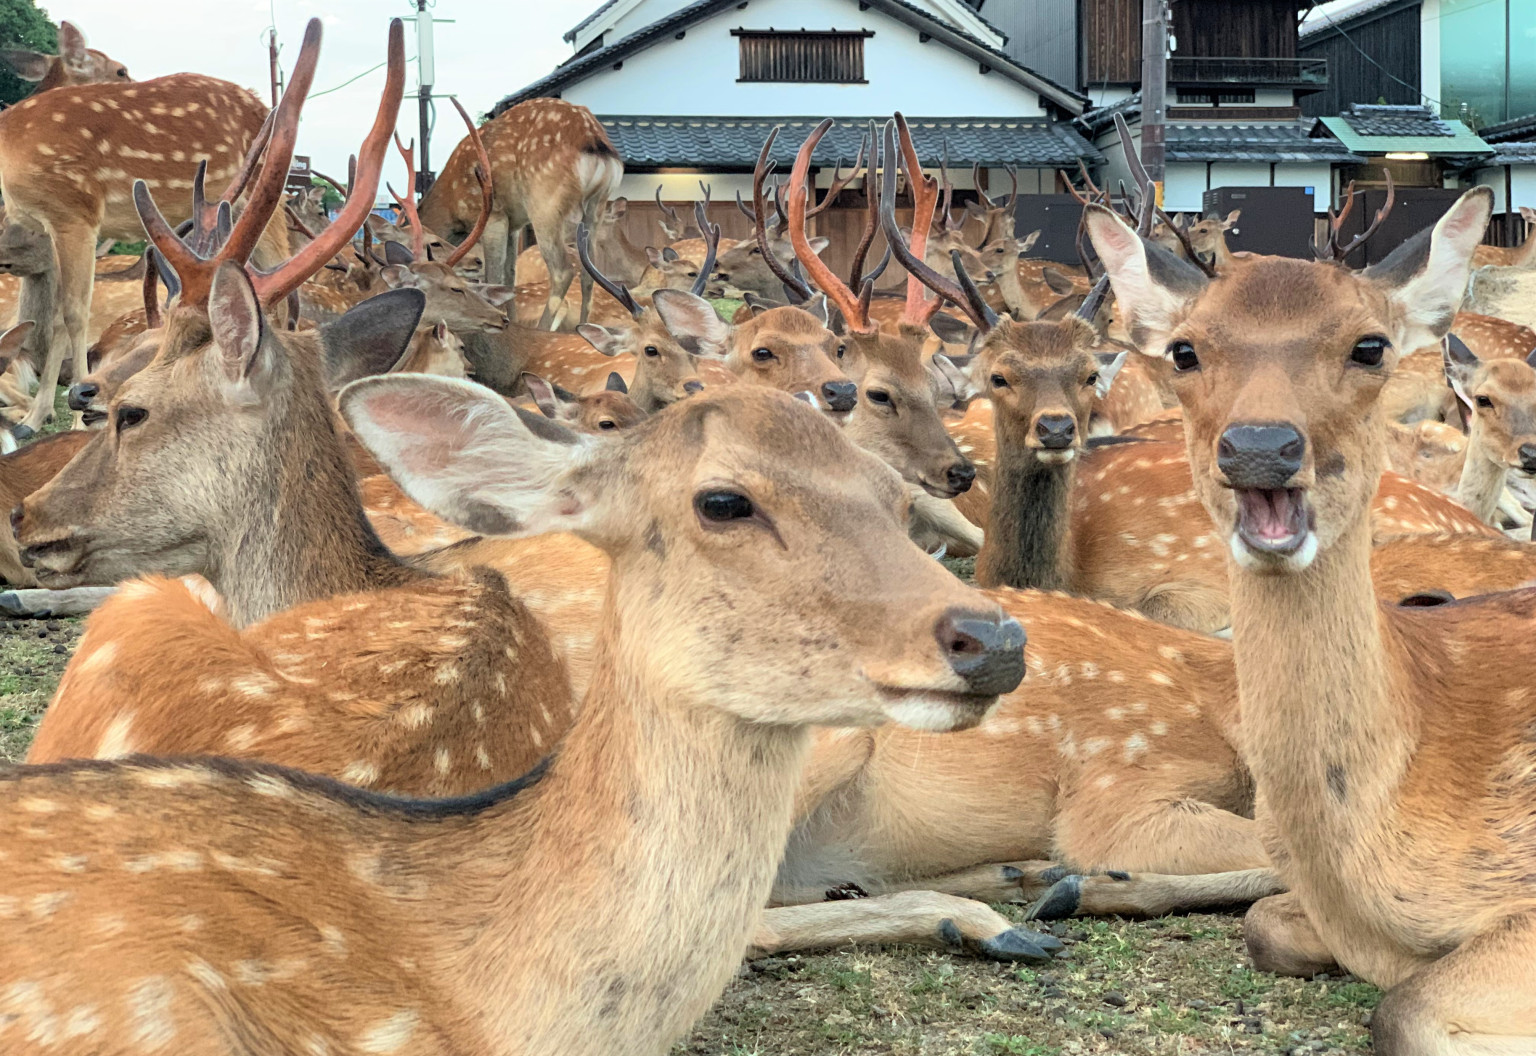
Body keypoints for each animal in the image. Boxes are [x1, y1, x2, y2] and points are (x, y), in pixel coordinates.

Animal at [416, 97, 621, 329]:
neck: (452, 208)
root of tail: (594, 140)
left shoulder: (493, 216)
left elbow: (494, 276)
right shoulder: (514, 225)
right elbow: (509, 276)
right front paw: (511, 320)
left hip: (544, 201)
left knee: (562, 270)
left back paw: (544, 329)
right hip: (597, 206)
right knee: (589, 271)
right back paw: (582, 328)